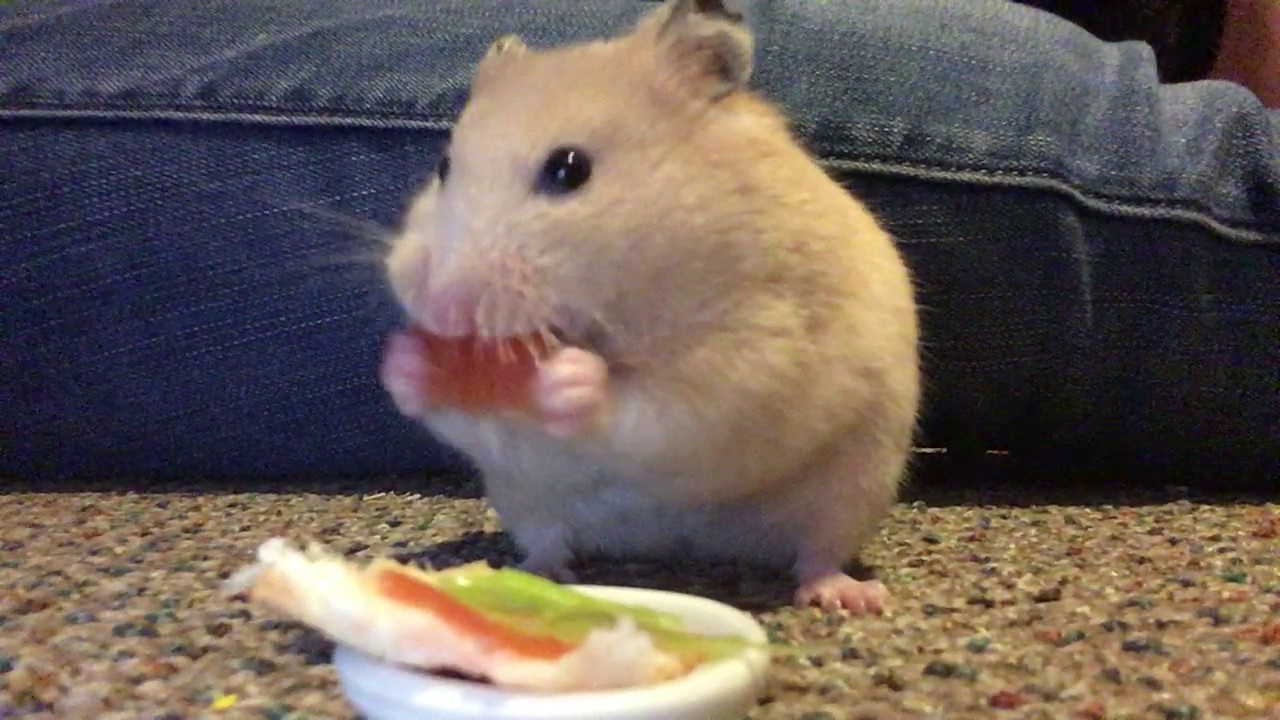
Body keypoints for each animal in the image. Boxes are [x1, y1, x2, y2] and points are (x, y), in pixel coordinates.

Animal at [380, 0, 921, 614]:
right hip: (525, 502)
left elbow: (649, 409)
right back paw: (527, 573)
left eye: (569, 168)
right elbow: (471, 419)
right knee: (549, 543)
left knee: (817, 554)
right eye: (445, 165)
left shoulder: (751, 361)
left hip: (854, 487)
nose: (441, 306)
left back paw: (851, 596)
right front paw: (403, 363)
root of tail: (679, 546)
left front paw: (569, 378)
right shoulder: (512, 447)